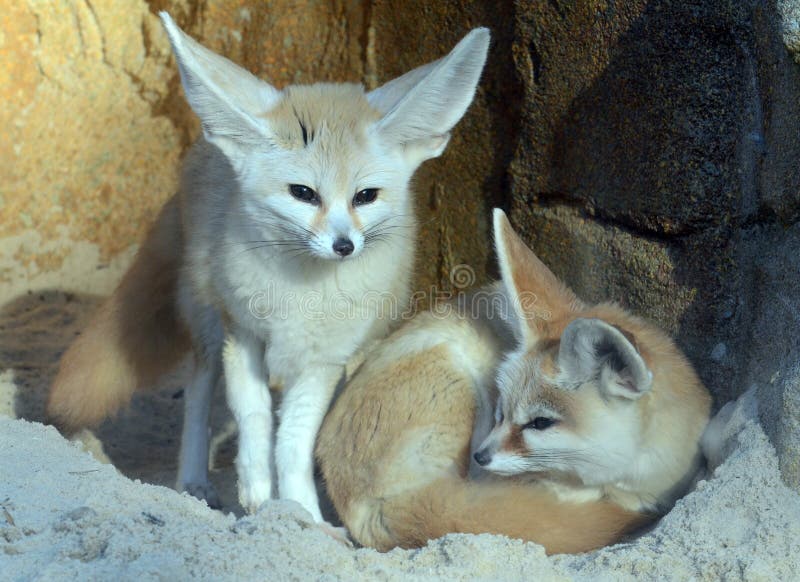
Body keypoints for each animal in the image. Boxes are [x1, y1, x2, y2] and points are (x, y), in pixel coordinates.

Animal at [46, 11, 490, 534]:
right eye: (303, 193)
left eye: (365, 197)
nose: (344, 246)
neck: (301, 293)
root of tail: (204, 148)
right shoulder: (243, 337)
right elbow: (255, 417)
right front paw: (257, 491)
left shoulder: (325, 360)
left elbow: (295, 440)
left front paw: (302, 511)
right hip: (207, 326)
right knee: (198, 395)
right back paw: (194, 480)